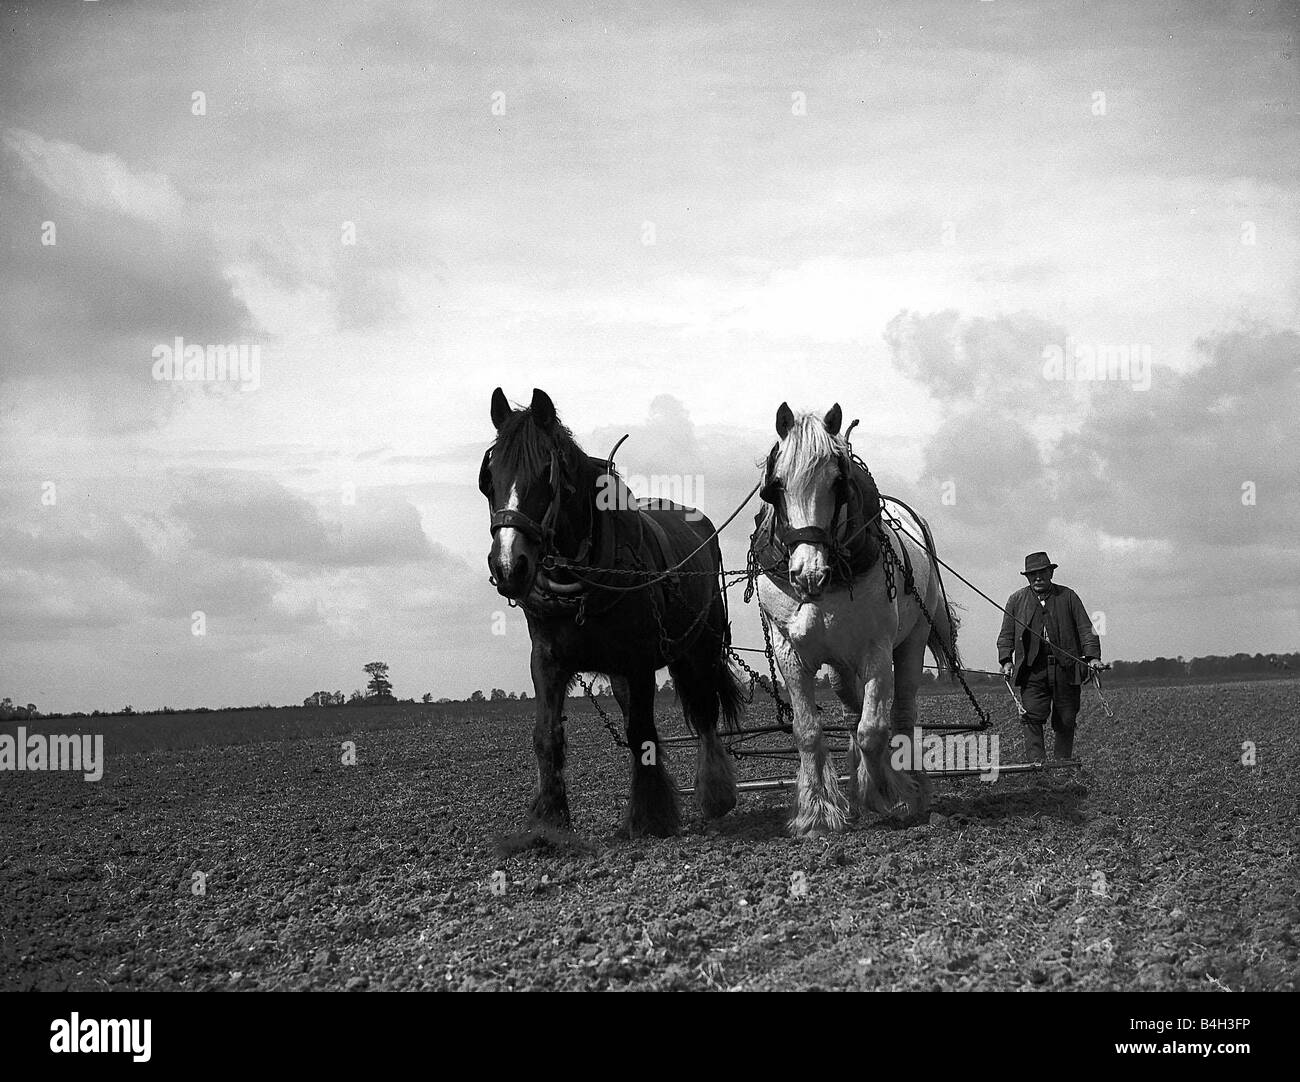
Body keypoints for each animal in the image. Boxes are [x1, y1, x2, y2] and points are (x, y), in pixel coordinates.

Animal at [479, 387, 743, 838]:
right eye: (490, 476)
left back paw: (716, 794)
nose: (508, 566)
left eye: (545, 473)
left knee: (704, 709)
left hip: (701, 644)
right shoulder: (546, 660)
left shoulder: (638, 661)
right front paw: (548, 822)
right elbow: (546, 736)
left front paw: (651, 817)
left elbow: (642, 734)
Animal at [751, 401, 963, 836]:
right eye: (775, 486)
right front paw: (817, 813)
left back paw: (912, 783)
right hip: (839, 665)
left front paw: (889, 795)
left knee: (901, 711)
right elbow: (809, 731)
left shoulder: (876, 648)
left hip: (912, 640)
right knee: (851, 711)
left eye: (838, 483)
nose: (808, 573)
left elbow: (873, 730)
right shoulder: (789, 652)